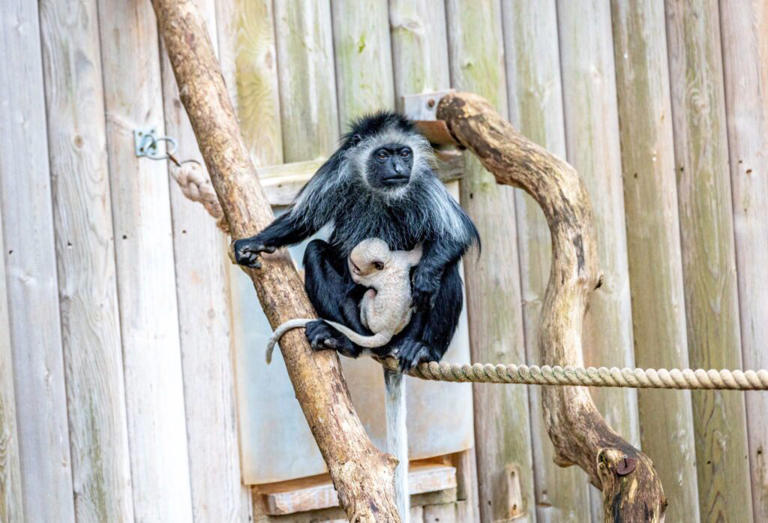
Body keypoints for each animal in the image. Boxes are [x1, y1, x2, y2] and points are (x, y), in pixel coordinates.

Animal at [265, 239, 422, 363]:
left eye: (357, 267)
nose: (353, 268)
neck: (388, 265)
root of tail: (386, 332)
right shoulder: (400, 258)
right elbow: (416, 254)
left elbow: (349, 297)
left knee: (367, 294)